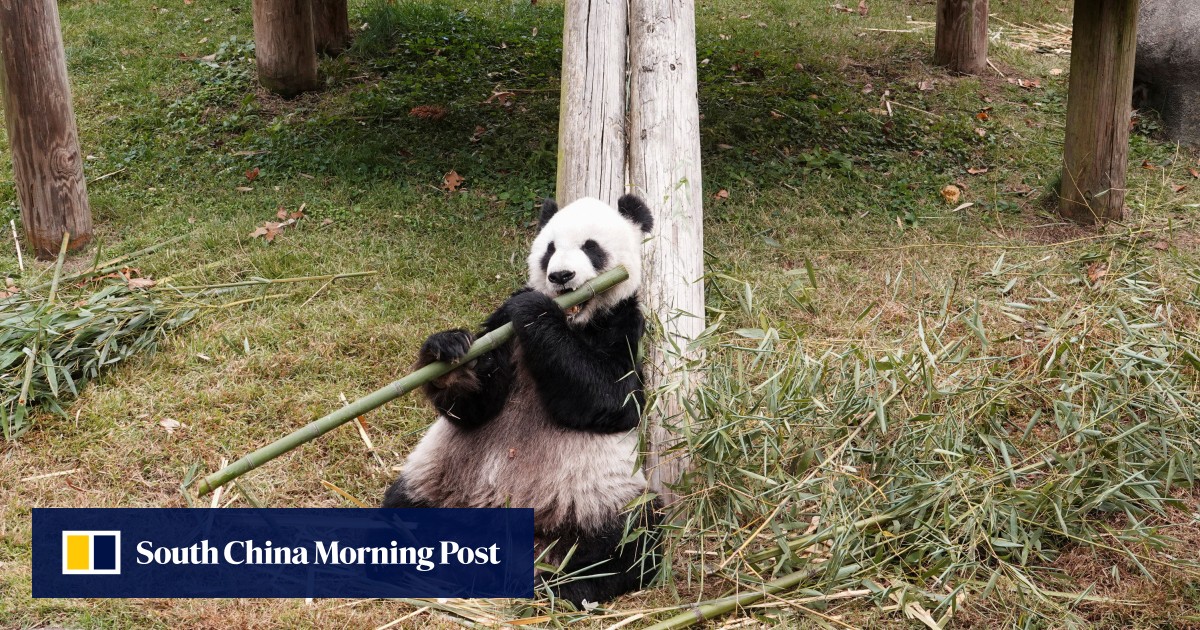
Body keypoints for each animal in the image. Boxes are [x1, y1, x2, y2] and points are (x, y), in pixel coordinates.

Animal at [382, 194, 662, 606]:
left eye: (591, 248)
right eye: (550, 250)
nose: (560, 277)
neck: (575, 320)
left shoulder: (624, 325)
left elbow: (616, 400)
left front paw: (534, 309)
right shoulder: (502, 327)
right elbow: (475, 408)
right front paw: (447, 351)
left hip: (602, 498)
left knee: (632, 542)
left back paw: (566, 586)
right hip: (439, 480)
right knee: (401, 509)